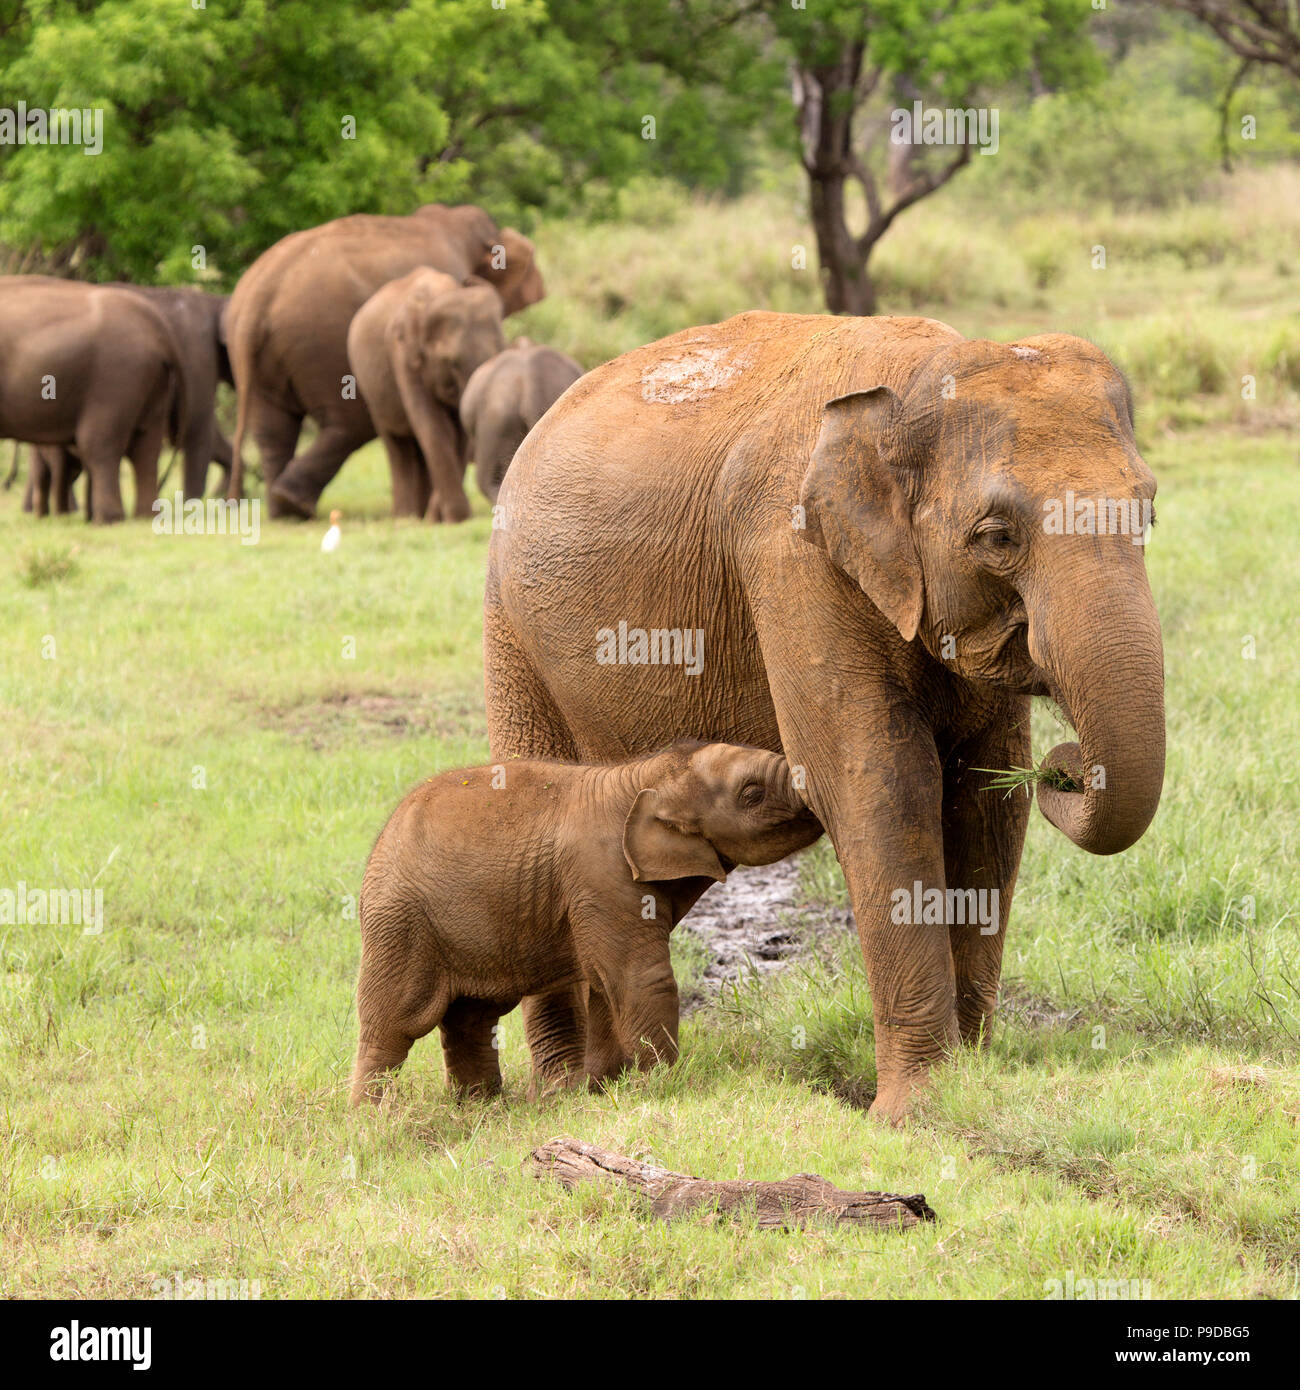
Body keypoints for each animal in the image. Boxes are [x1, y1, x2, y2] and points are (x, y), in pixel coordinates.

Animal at [0, 277, 187, 523]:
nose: (8, 481)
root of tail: (162, 332)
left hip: (116, 379)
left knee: (99, 444)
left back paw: (106, 520)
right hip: (151, 385)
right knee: (146, 447)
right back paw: (144, 517)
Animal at [347, 267, 505, 522]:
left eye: (501, 350)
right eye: (452, 362)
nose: (436, 516)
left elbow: (456, 433)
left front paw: (441, 518)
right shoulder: (401, 354)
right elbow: (434, 427)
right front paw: (453, 518)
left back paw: (418, 516)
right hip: (369, 390)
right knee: (397, 446)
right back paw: (405, 518)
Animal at [350, 741, 822, 1105]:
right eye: (752, 793)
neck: (642, 775)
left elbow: (604, 986)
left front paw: (601, 1090)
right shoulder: (602, 874)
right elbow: (638, 978)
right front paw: (667, 1086)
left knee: (471, 1018)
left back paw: (479, 1108)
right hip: (399, 923)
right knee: (394, 1024)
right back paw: (372, 1121)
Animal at [483, 312, 1165, 1124]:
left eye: (1149, 512)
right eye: (997, 536)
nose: (1066, 767)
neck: (912, 378)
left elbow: (987, 798)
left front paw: (970, 1078)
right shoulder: (792, 558)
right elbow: (878, 784)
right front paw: (915, 1112)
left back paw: (601, 1082)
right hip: (511, 630)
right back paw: (566, 1095)